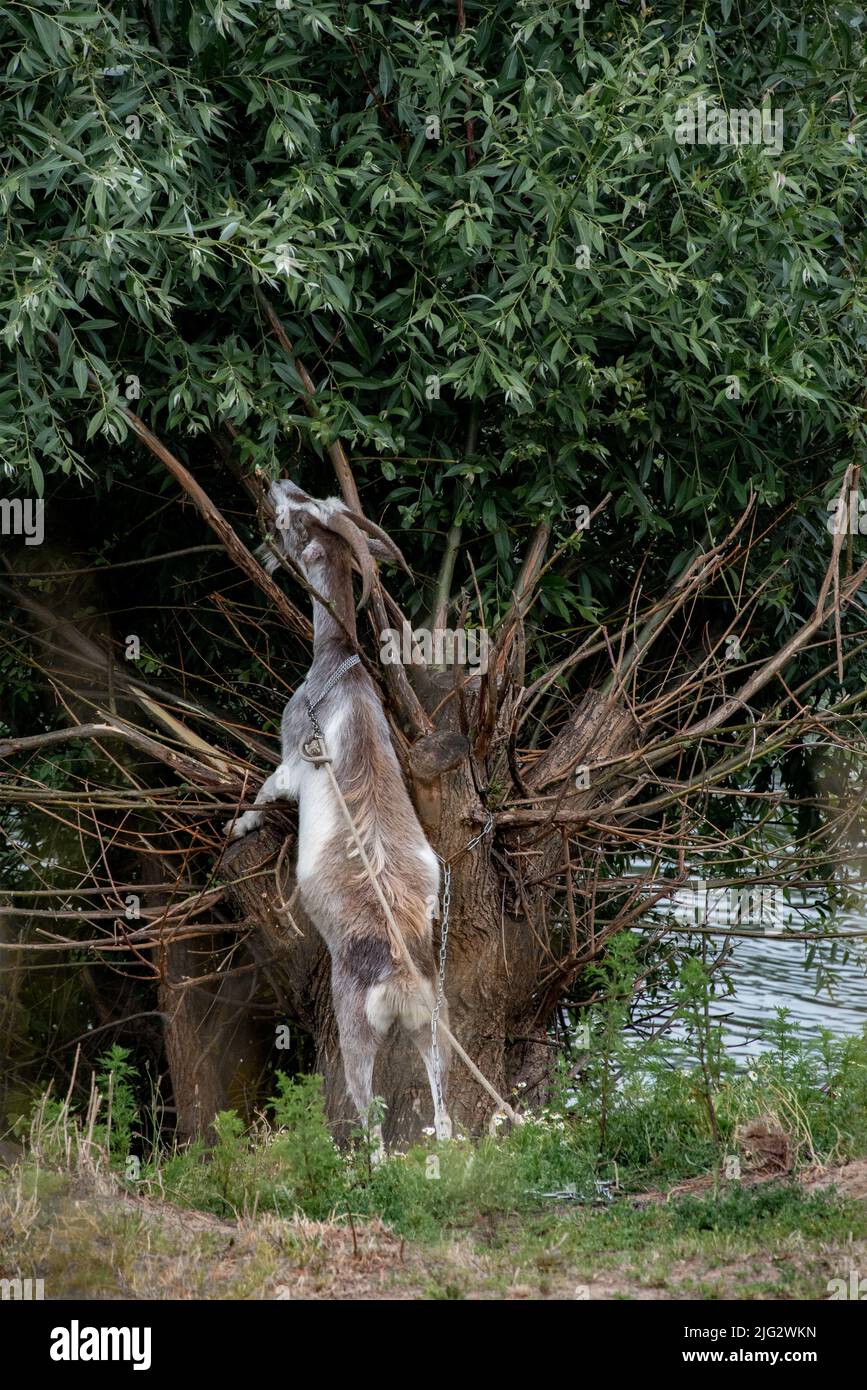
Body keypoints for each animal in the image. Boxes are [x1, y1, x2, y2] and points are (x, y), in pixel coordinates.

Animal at [226, 481, 452, 1152]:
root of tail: (399, 980)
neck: (338, 666)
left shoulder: (292, 758)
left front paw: (237, 826)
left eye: (298, 518)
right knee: (445, 1113)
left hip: (355, 1032)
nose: (278, 485)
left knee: (370, 1122)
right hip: (433, 1033)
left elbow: (266, 791)